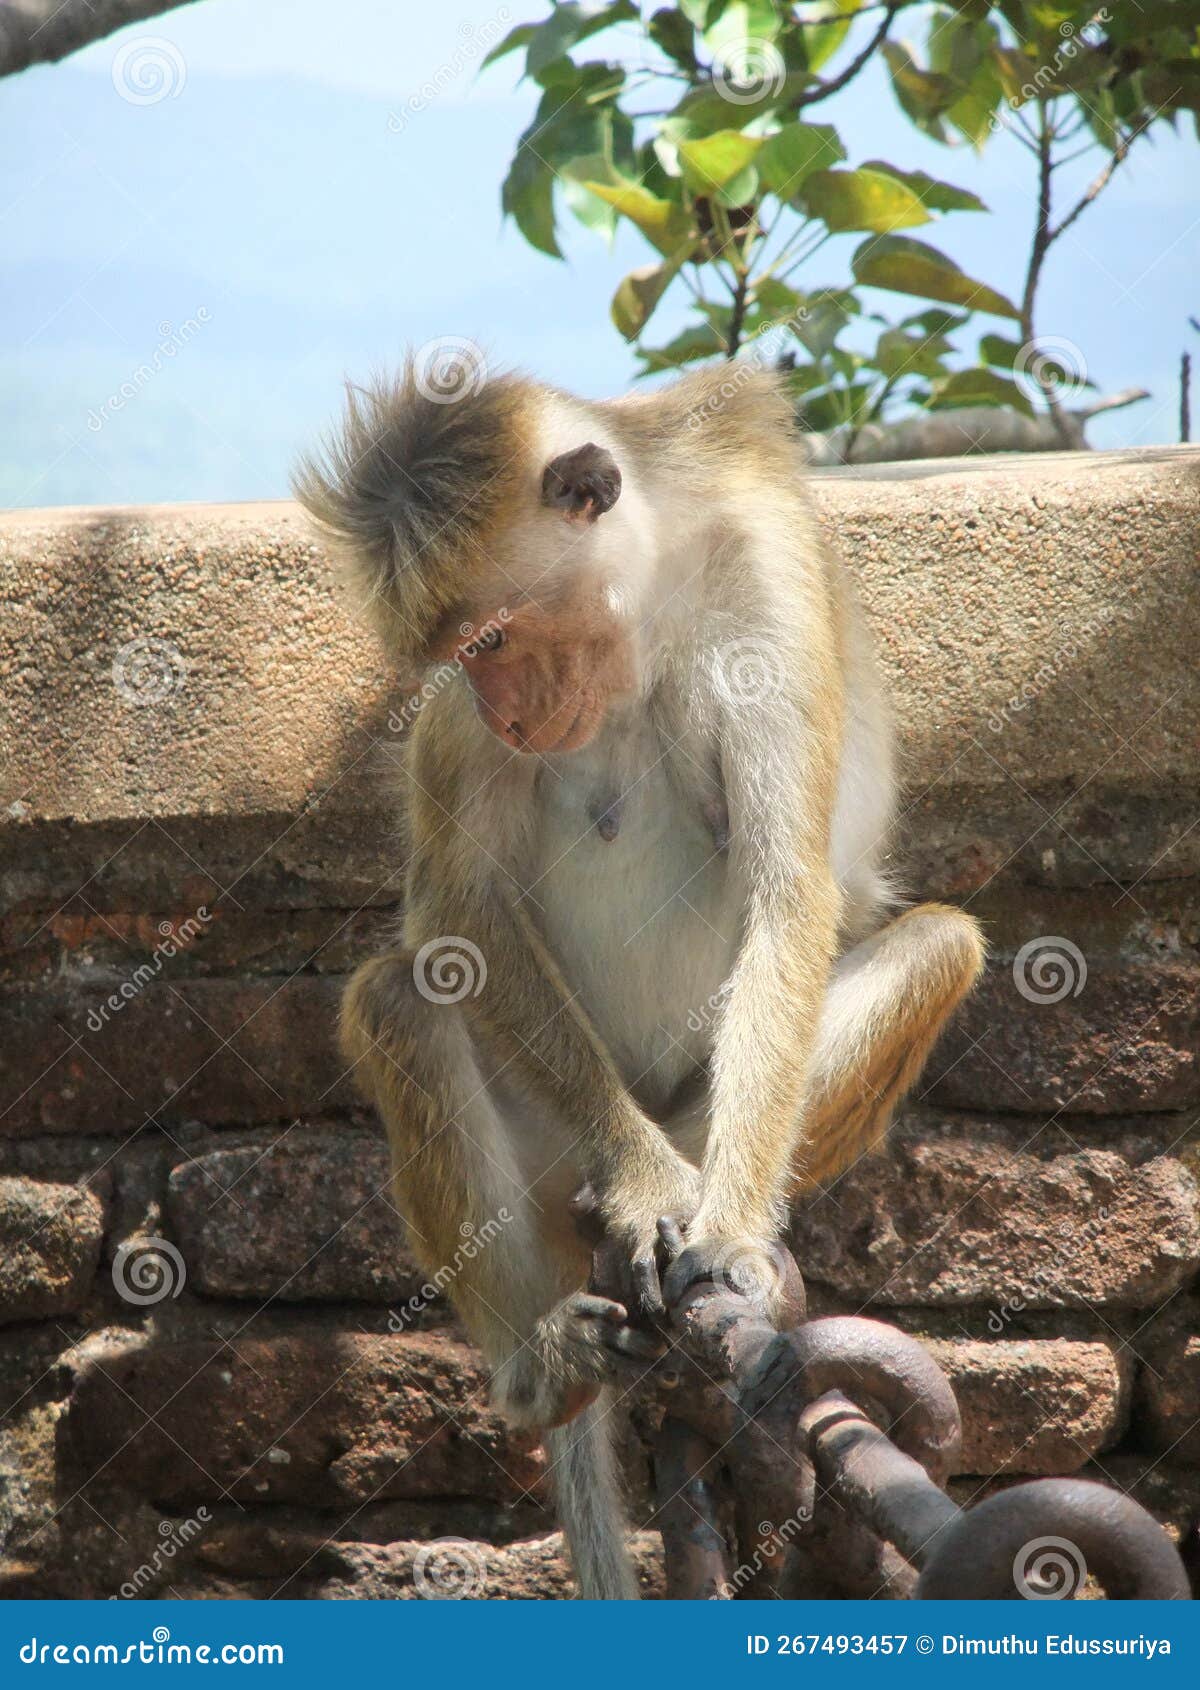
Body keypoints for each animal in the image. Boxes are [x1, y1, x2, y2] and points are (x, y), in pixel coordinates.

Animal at [293, 358, 984, 1600]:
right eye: (463, 652)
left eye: (496, 637)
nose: (505, 711)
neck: (653, 589)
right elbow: (454, 907)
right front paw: (651, 1184)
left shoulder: (766, 587)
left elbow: (788, 891)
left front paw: (726, 1232)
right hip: (550, 1156)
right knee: (402, 998)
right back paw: (545, 1361)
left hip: (712, 1107)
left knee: (940, 943)